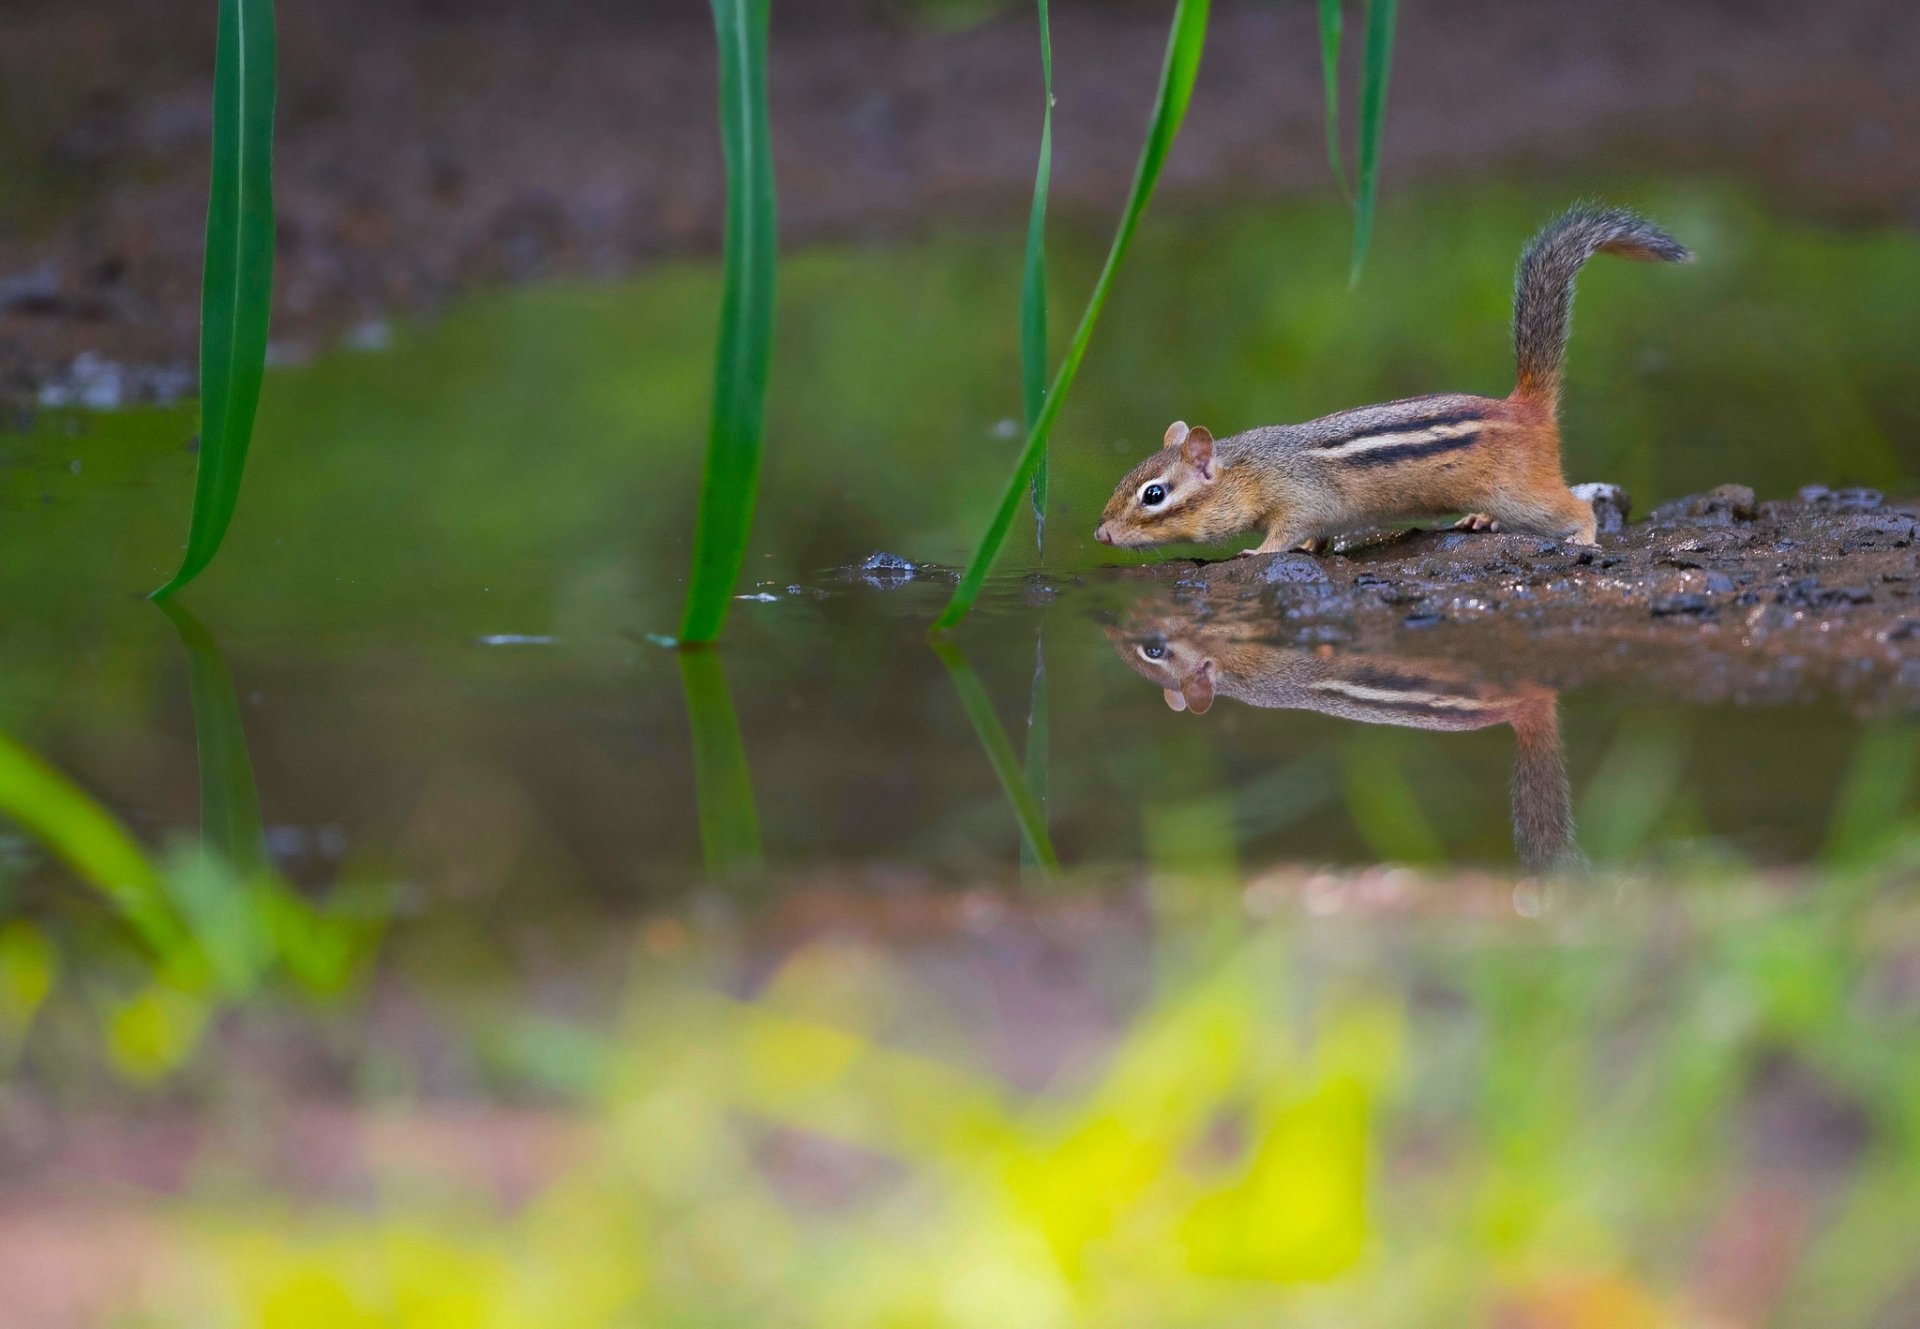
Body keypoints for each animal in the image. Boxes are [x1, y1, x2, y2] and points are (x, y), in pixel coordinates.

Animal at [1093, 203, 1691, 556]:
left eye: (1153, 494)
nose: (1101, 533)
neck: (1250, 469)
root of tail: (1523, 405)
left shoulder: (1299, 499)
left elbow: (1286, 534)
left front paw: (1257, 552)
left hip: (1523, 496)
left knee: (1574, 508)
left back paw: (1584, 536)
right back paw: (1479, 521)